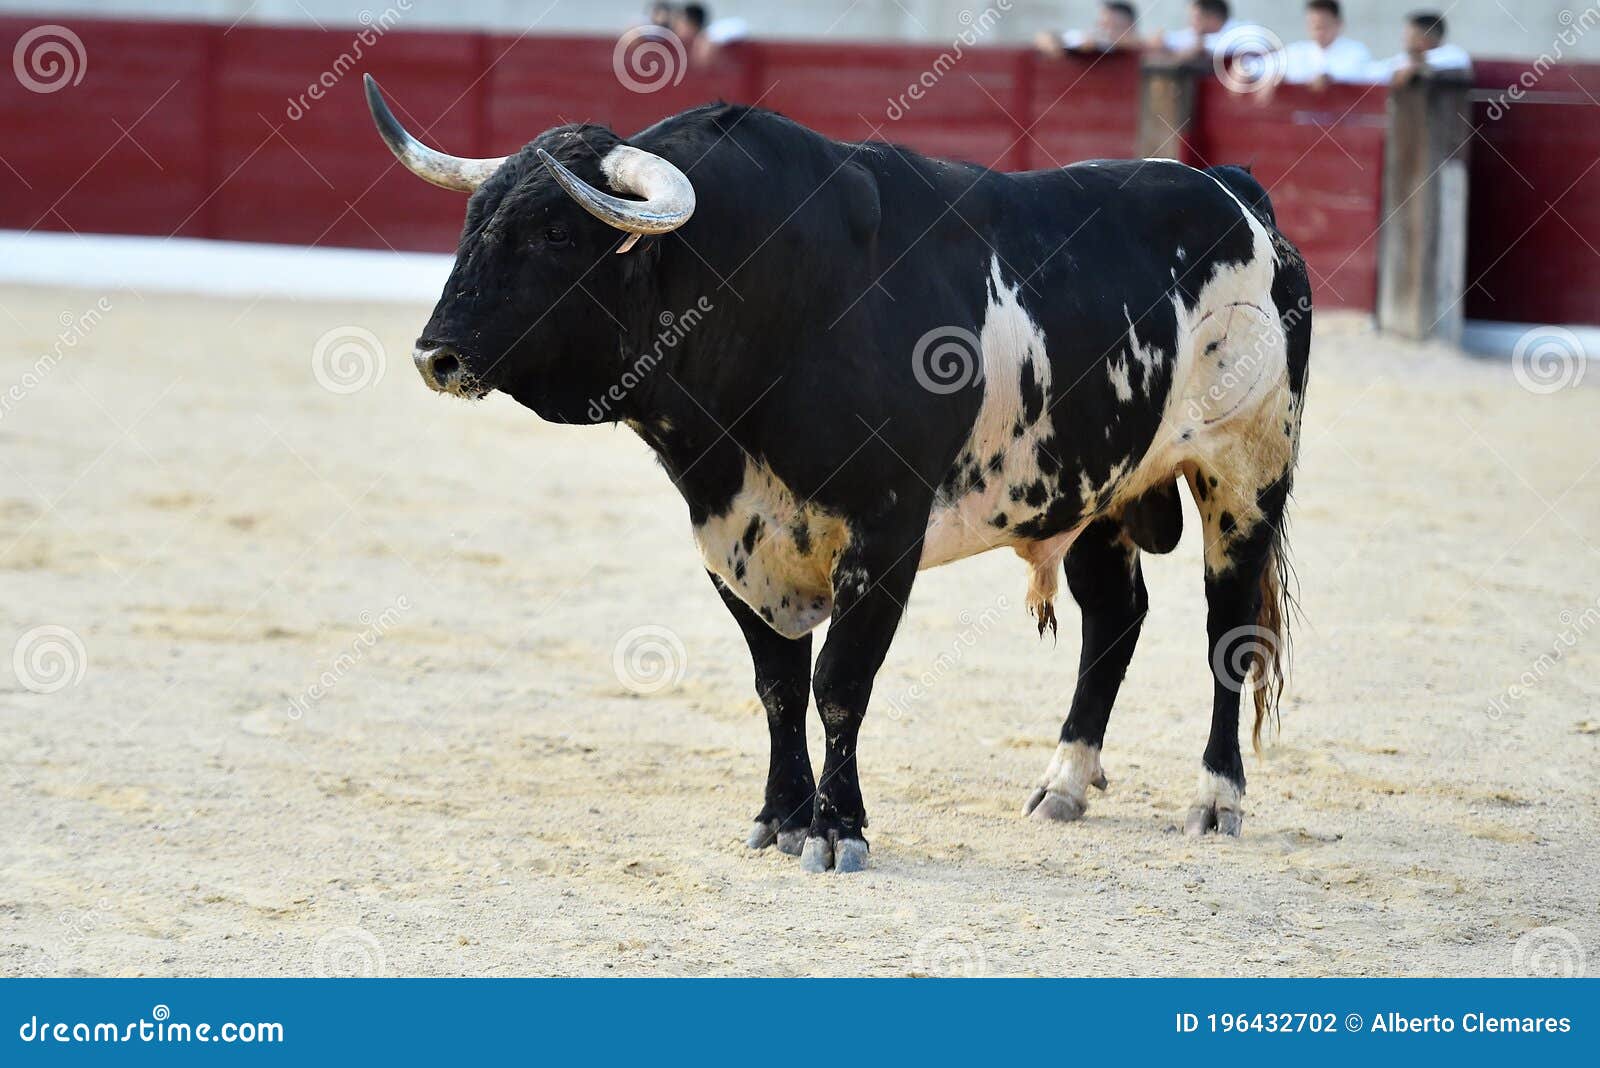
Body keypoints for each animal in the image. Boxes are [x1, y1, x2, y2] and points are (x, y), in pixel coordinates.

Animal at [364, 73, 1310, 873]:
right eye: (474, 222)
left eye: (557, 233)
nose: (435, 354)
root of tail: (1237, 194)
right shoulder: (729, 539)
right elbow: (779, 685)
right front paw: (780, 818)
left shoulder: (885, 536)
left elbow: (840, 685)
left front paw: (837, 828)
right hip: (1095, 492)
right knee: (1114, 619)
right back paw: (1064, 783)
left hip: (1246, 475)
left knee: (1228, 628)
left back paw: (1215, 797)